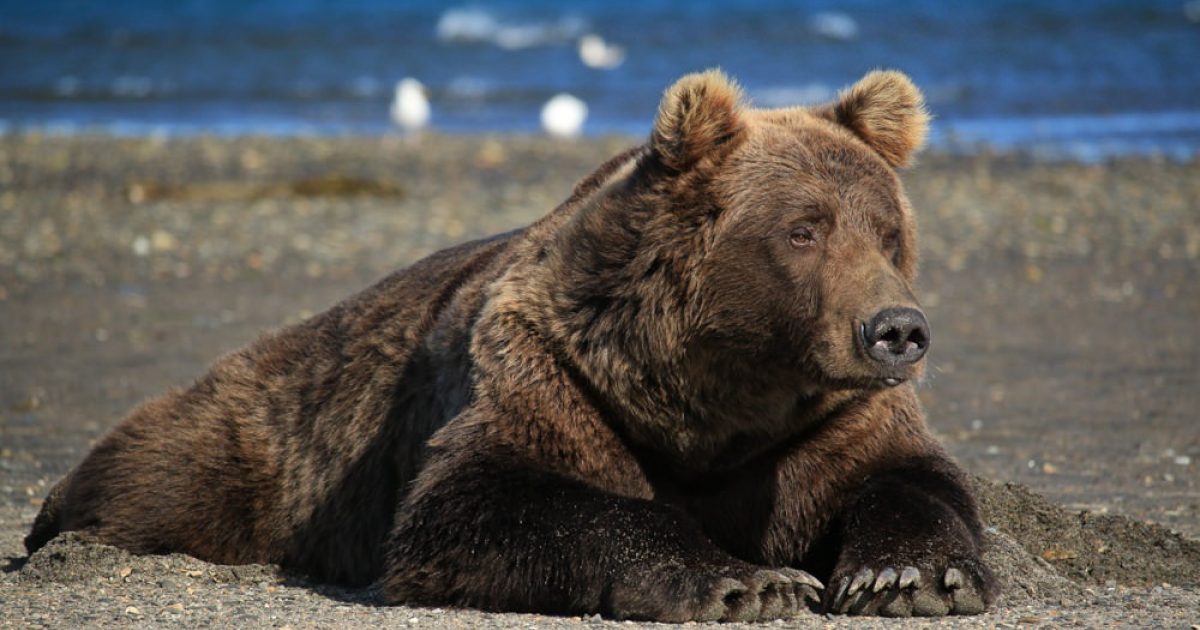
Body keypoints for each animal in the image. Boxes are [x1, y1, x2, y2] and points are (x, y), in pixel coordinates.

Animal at [26, 69, 997, 621]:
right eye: (803, 230)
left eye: (887, 231)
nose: (897, 329)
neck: (708, 396)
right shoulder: (548, 374)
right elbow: (483, 500)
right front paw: (749, 583)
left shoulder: (818, 424)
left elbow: (908, 476)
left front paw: (907, 576)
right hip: (245, 445)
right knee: (160, 475)